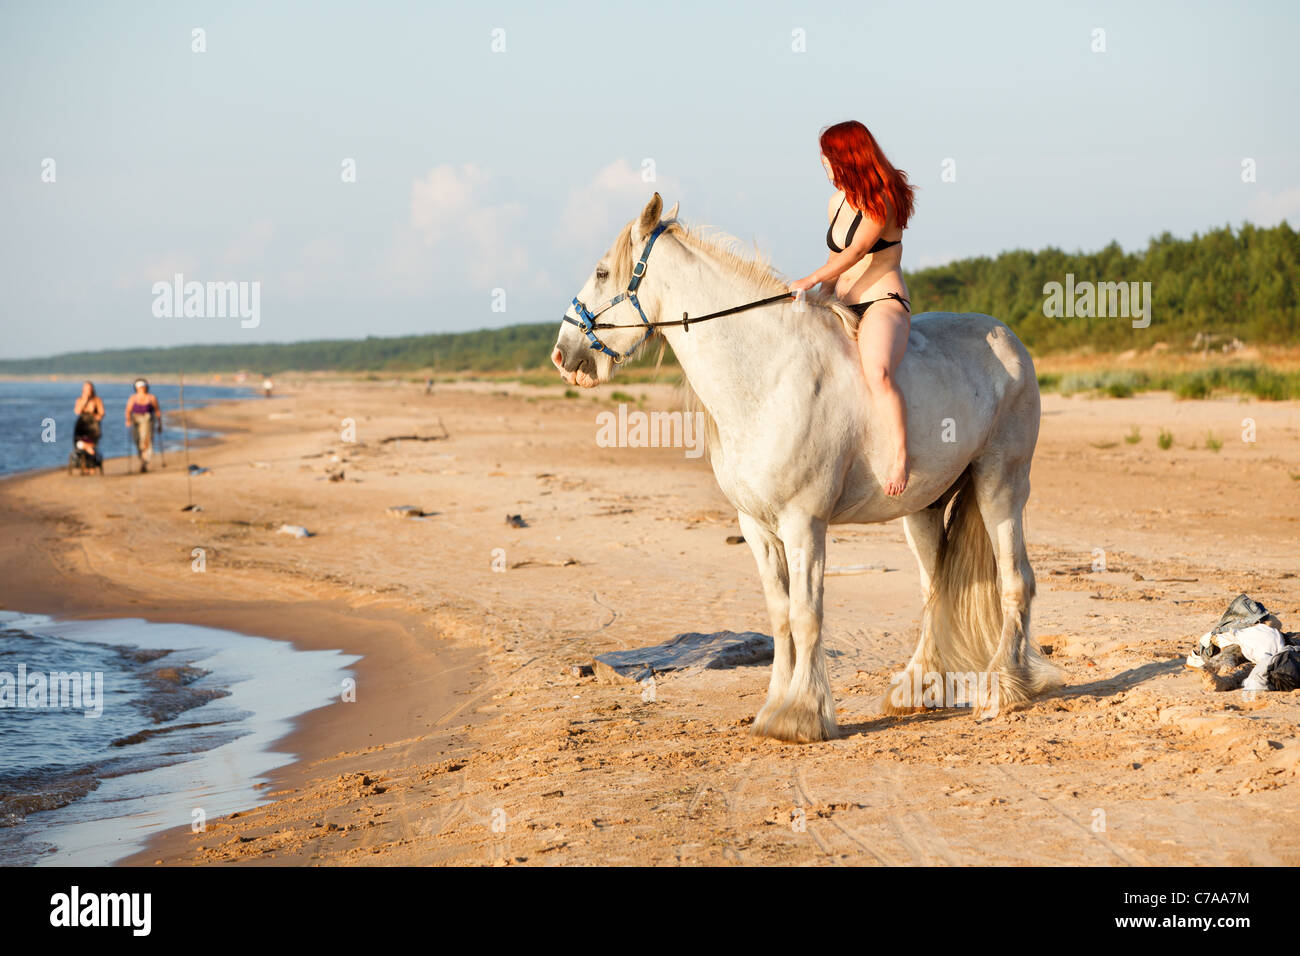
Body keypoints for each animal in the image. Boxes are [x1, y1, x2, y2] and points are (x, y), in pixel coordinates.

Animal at [552, 193, 1061, 742]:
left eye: (603, 272)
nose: (562, 354)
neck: (769, 375)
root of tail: (1011, 342)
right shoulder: (755, 526)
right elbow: (780, 618)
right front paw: (776, 704)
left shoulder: (804, 523)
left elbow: (806, 615)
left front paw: (801, 715)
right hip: (922, 509)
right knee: (937, 589)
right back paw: (918, 688)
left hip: (1000, 486)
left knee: (1016, 581)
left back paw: (1004, 688)